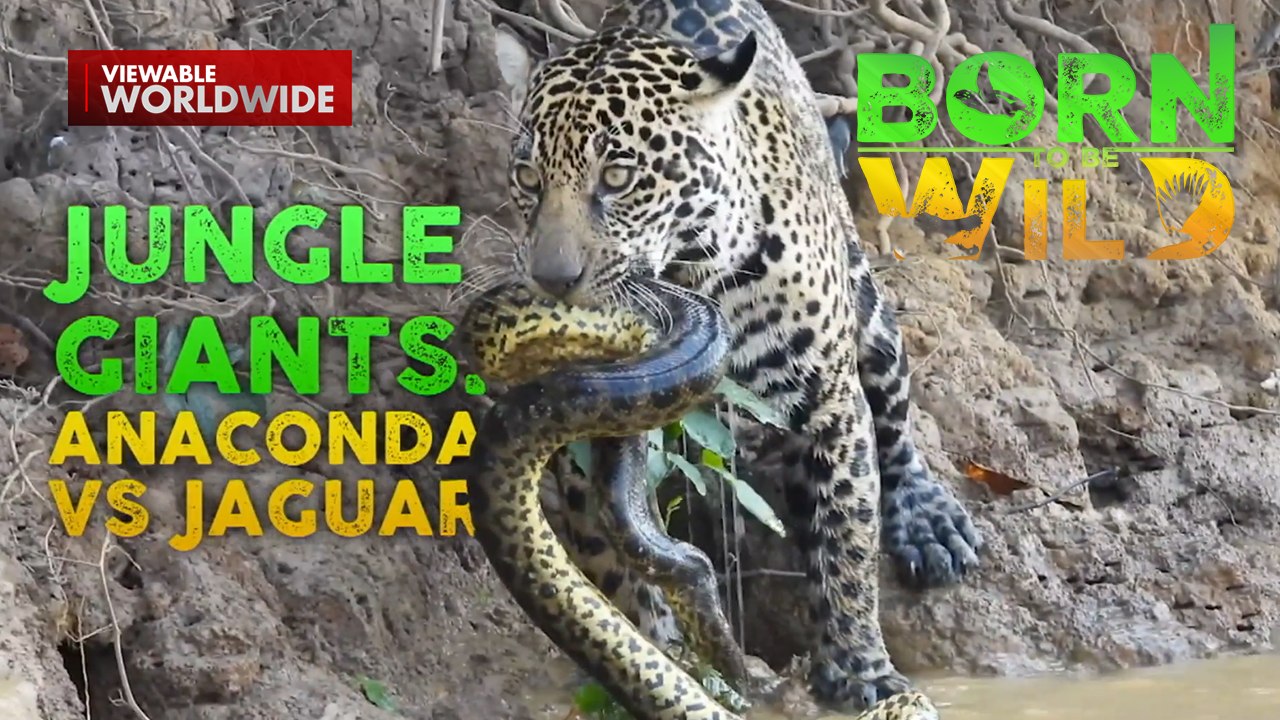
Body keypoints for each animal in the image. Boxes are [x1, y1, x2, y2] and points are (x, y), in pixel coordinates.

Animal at [494, 0, 984, 711]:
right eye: (529, 177)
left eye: (617, 177)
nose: (554, 280)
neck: (690, 276)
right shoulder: (578, 437)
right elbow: (613, 564)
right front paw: (660, 656)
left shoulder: (832, 404)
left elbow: (847, 539)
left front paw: (861, 671)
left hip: (869, 312)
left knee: (895, 424)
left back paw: (930, 523)